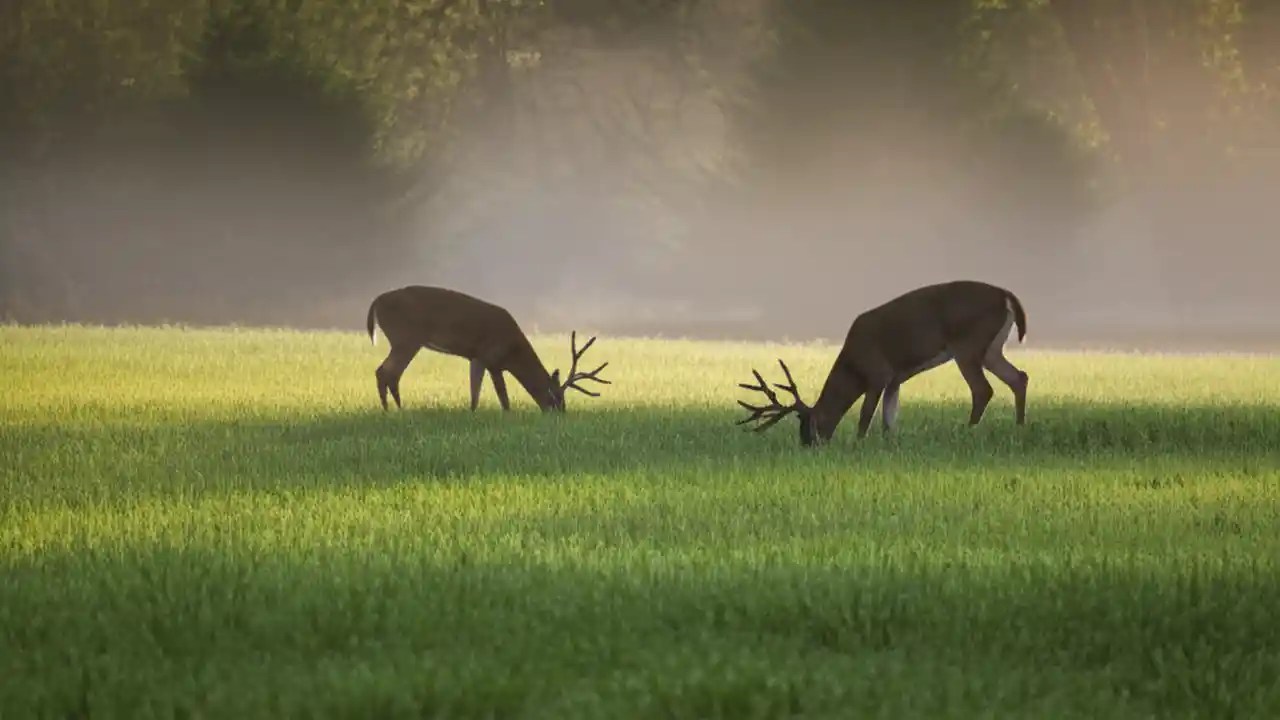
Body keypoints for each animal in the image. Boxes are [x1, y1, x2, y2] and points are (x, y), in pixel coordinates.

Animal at [365, 285, 610, 412]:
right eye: (557, 398)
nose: (561, 415)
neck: (513, 350)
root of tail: (376, 301)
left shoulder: (477, 357)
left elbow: (475, 394)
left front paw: (472, 414)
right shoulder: (491, 359)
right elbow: (503, 398)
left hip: (404, 340)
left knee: (388, 373)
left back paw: (395, 409)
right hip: (405, 338)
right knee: (385, 372)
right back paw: (395, 410)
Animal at [737, 280, 1029, 446]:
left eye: (808, 428)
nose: (808, 446)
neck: (853, 364)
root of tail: (1007, 296)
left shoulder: (877, 373)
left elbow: (866, 416)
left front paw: (859, 443)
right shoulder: (895, 379)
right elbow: (889, 418)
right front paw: (888, 443)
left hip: (968, 344)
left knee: (983, 390)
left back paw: (968, 431)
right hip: (990, 348)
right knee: (1019, 377)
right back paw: (1019, 427)